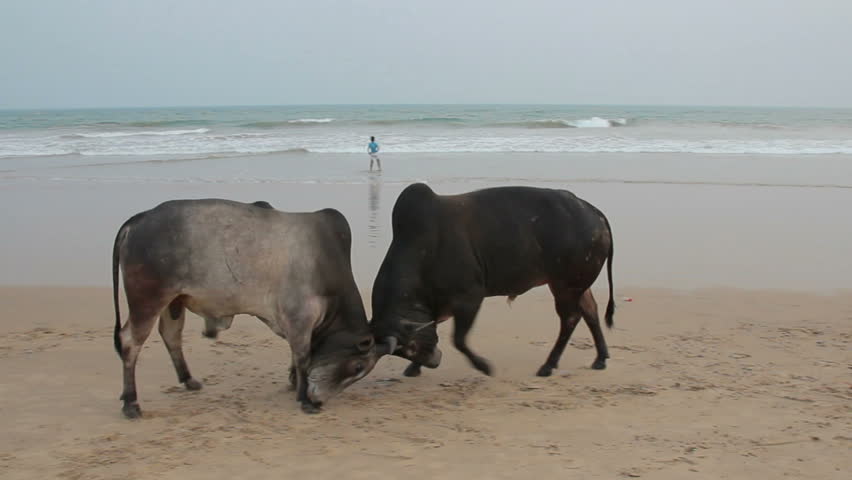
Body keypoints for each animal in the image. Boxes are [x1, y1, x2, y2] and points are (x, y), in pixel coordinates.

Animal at [112, 199, 388, 418]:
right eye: (358, 366)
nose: (319, 400)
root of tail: (138, 219)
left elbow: (295, 354)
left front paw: (293, 382)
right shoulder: (300, 318)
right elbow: (302, 357)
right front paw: (304, 399)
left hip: (173, 301)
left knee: (170, 335)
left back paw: (188, 380)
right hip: (148, 300)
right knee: (130, 342)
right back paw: (131, 403)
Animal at [370, 183, 615, 379]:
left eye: (410, 347)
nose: (434, 362)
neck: (422, 250)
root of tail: (594, 212)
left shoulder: (469, 298)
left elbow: (459, 340)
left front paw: (484, 367)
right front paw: (413, 368)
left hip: (565, 285)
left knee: (571, 318)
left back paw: (548, 365)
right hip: (573, 285)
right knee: (590, 311)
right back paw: (600, 359)